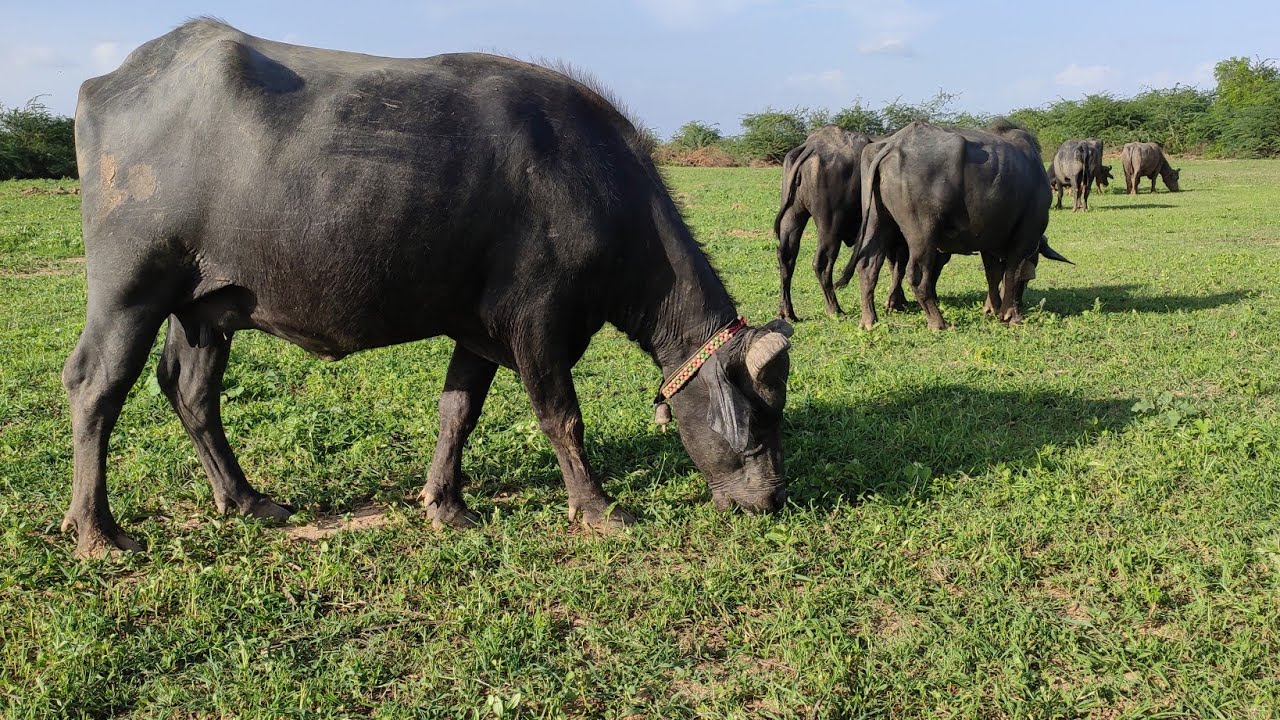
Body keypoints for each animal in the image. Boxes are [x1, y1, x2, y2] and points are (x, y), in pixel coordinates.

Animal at [62, 20, 794, 556]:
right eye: (760, 417)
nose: (771, 498)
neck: (598, 189)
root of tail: (113, 78)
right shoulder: (537, 321)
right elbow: (562, 416)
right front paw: (597, 509)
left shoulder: (480, 329)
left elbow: (457, 412)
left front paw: (445, 503)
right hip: (131, 289)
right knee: (96, 385)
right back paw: (97, 530)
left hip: (204, 305)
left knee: (191, 392)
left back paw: (246, 499)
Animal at [836, 120, 1072, 330]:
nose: (1020, 303)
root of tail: (892, 145)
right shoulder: (1024, 238)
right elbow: (1012, 273)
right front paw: (1010, 314)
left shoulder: (988, 242)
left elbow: (993, 274)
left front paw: (992, 308)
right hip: (922, 233)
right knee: (917, 274)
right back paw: (937, 322)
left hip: (878, 220)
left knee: (868, 265)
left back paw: (869, 319)